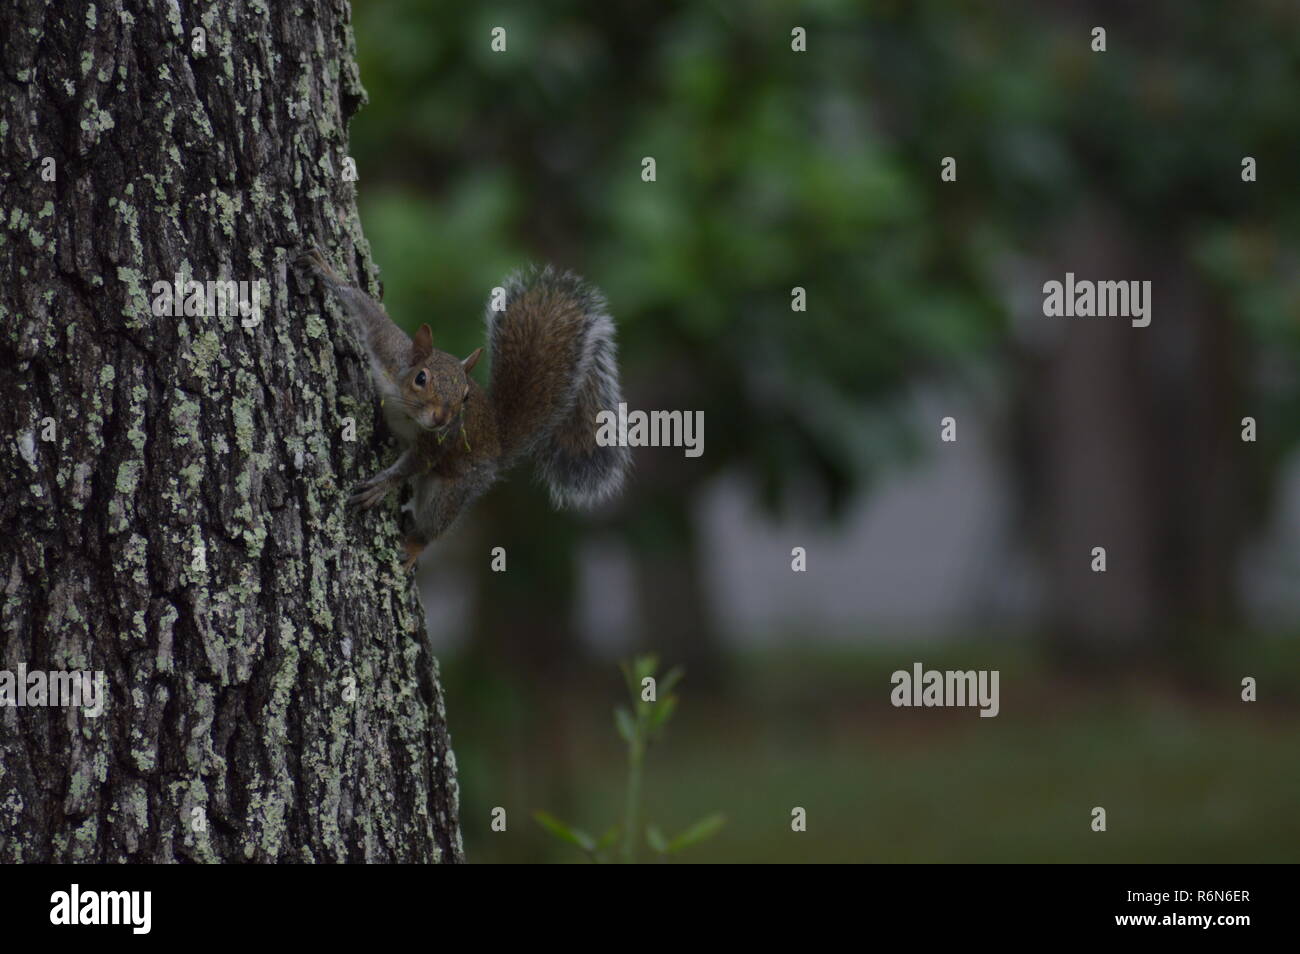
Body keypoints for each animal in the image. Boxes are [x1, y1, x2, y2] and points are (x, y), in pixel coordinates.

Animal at [298, 247, 630, 570]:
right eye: (421, 378)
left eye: (466, 396)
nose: (441, 418)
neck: (409, 414)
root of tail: (497, 445)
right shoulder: (389, 350)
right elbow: (368, 312)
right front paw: (327, 272)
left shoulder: (439, 441)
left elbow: (416, 463)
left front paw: (381, 485)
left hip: (455, 488)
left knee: (437, 522)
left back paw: (416, 545)